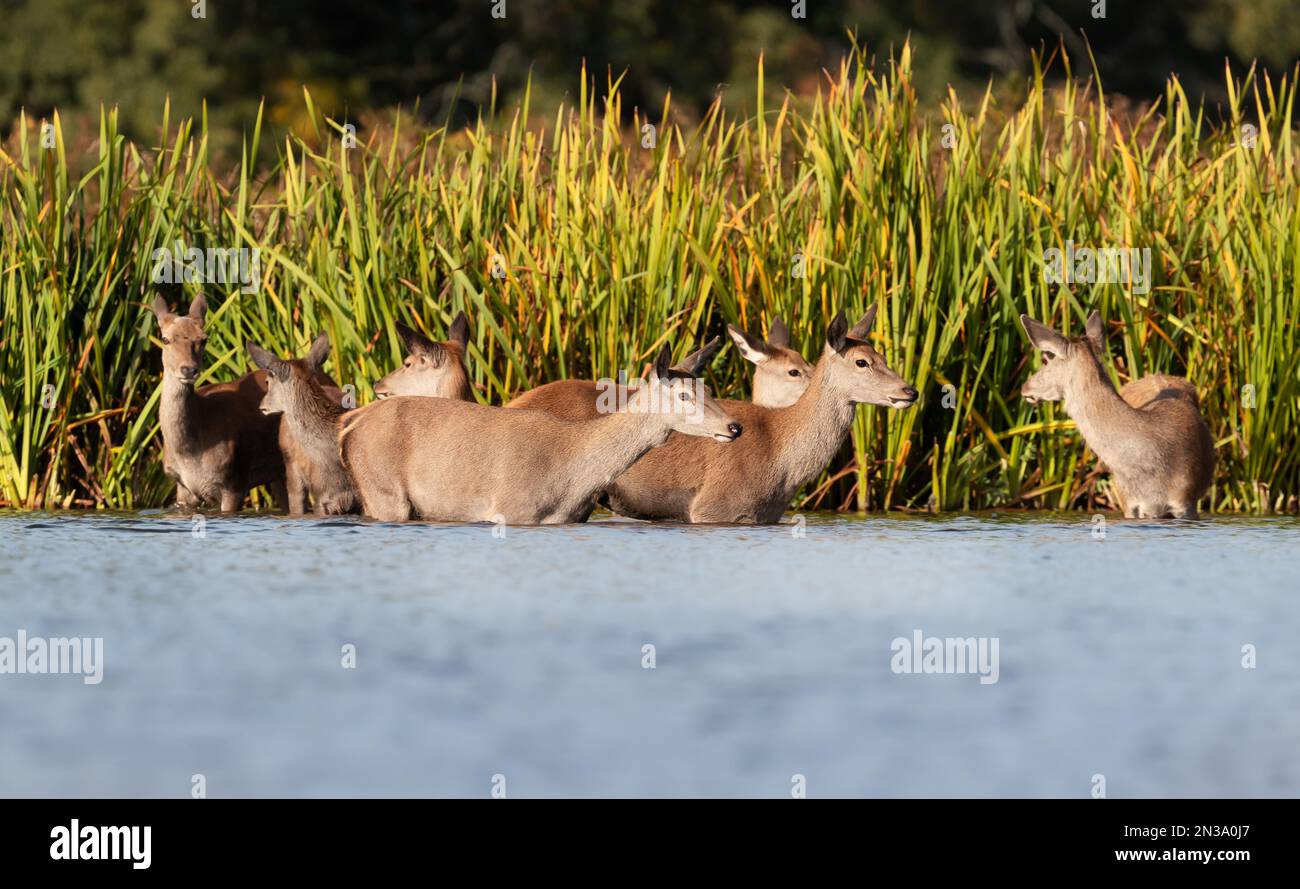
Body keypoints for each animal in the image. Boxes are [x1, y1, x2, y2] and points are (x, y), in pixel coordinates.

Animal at [338, 342, 743, 524]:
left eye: (709, 388)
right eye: (684, 394)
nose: (734, 426)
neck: (571, 476)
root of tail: (350, 424)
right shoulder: (510, 509)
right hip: (384, 489)